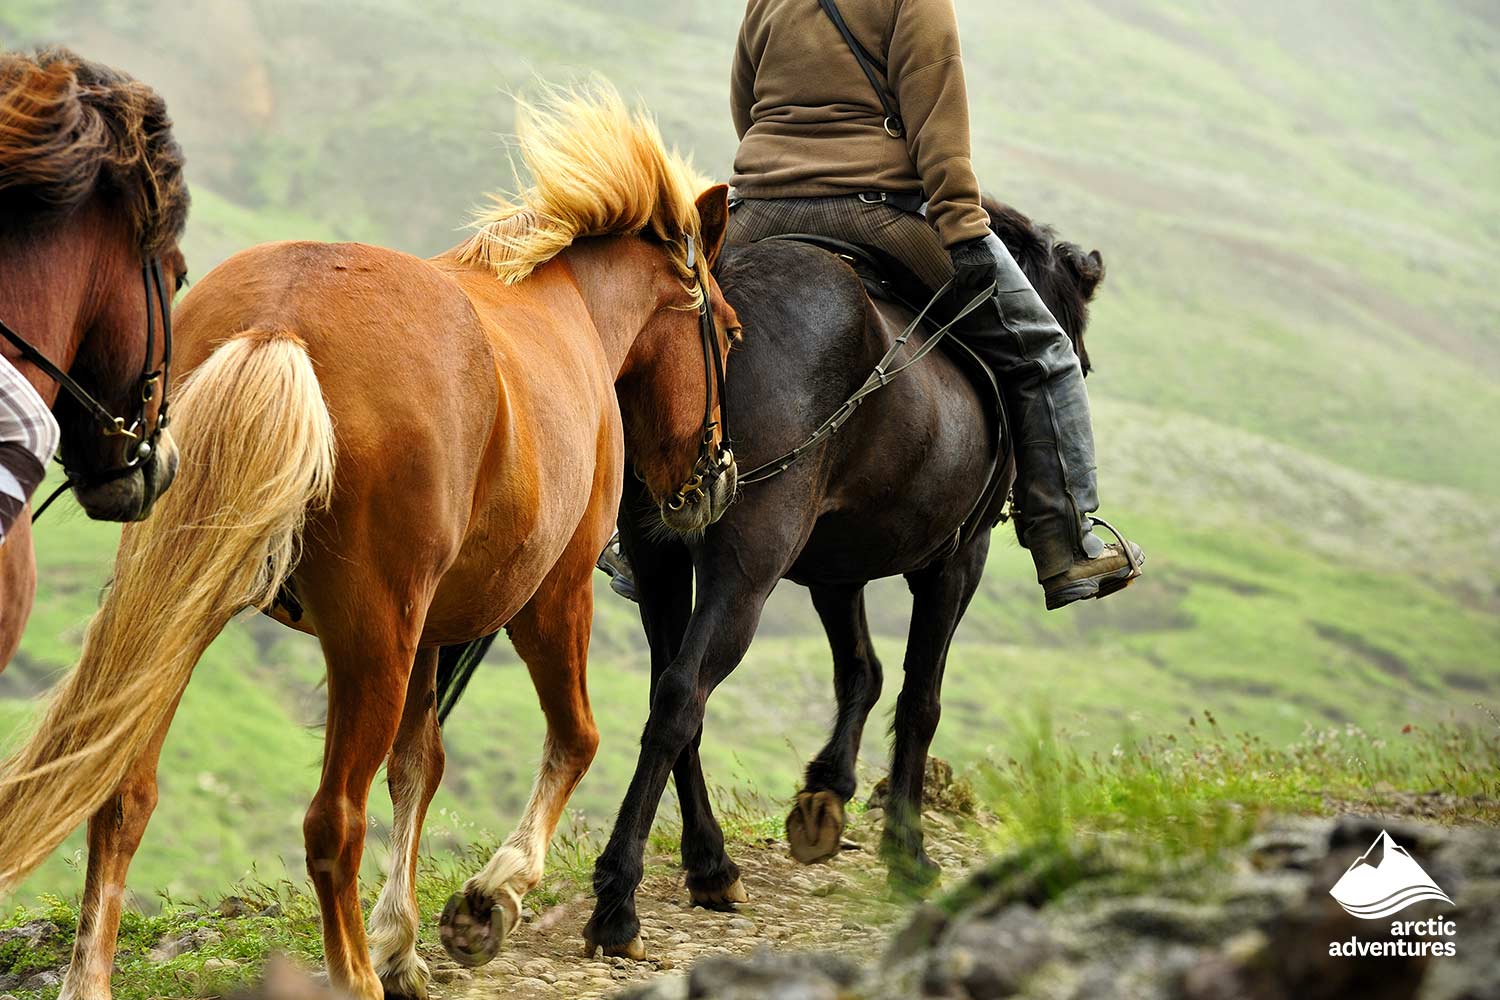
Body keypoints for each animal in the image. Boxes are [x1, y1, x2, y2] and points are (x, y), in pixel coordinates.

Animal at [577, 198, 1105, 958]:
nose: (1083, 363)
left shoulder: (834, 571)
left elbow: (862, 671)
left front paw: (827, 790)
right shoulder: (956, 561)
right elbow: (919, 700)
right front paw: (906, 853)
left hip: (660, 557)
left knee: (672, 694)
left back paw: (711, 866)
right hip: (747, 568)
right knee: (682, 696)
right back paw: (619, 900)